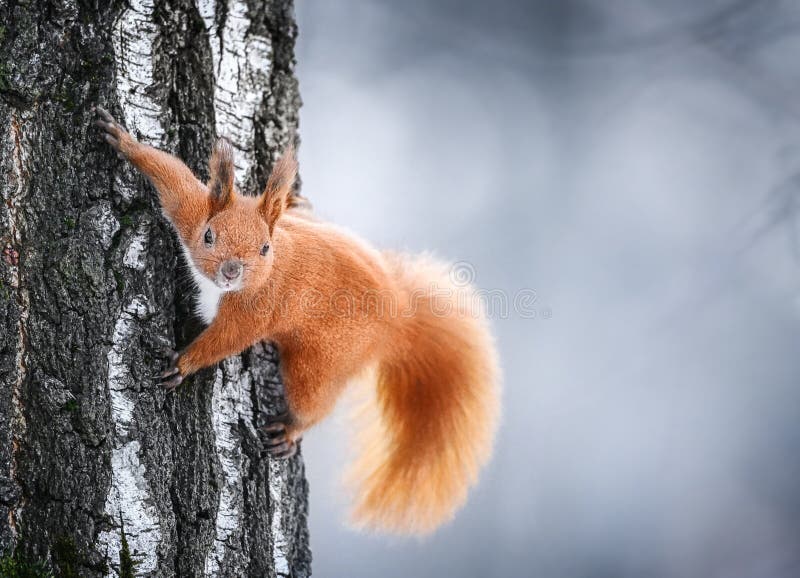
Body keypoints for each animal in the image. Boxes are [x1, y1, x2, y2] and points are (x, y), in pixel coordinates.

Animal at [95, 106, 500, 535]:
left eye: (264, 248)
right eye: (209, 236)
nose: (231, 272)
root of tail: (398, 322)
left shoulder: (256, 309)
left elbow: (225, 341)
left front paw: (182, 363)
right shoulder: (191, 211)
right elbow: (172, 176)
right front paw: (124, 141)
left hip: (319, 363)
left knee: (314, 402)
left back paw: (290, 430)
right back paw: (295, 202)